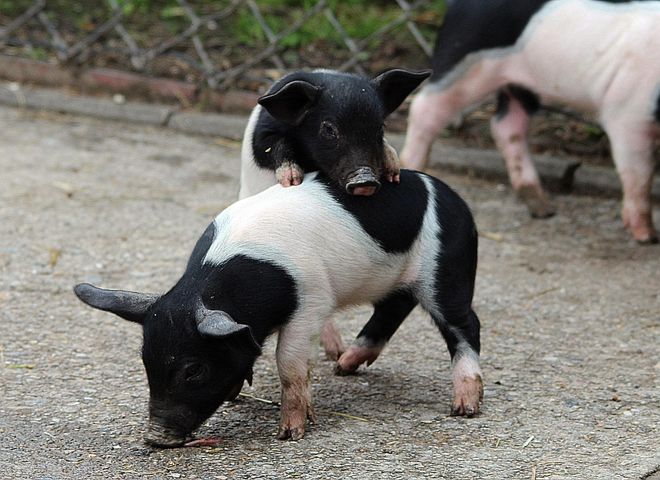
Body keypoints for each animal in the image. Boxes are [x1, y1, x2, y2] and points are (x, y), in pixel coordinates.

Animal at [74, 169, 482, 447]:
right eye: (145, 362)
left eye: (193, 370)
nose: (155, 437)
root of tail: (457, 200)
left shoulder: (312, 302)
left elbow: (289, 363)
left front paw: (290, 433)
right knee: (394, 307)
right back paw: (344, 366)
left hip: (447, 269)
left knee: (465, 324)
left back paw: (464, 408)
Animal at [239, 68, 431, 199]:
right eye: (329, 129)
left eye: (380, 128)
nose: (365, 180)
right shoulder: (264, 132)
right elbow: (271, 145)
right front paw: (292, 181)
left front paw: (394, 174)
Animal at [401, 0, 660, 243]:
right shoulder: (628, 112)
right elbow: (640, 171)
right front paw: (647, 237)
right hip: (464, 60)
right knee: (425, 108)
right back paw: (413, 164)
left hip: (519, 85)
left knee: (506, 125)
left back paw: (542, 208)